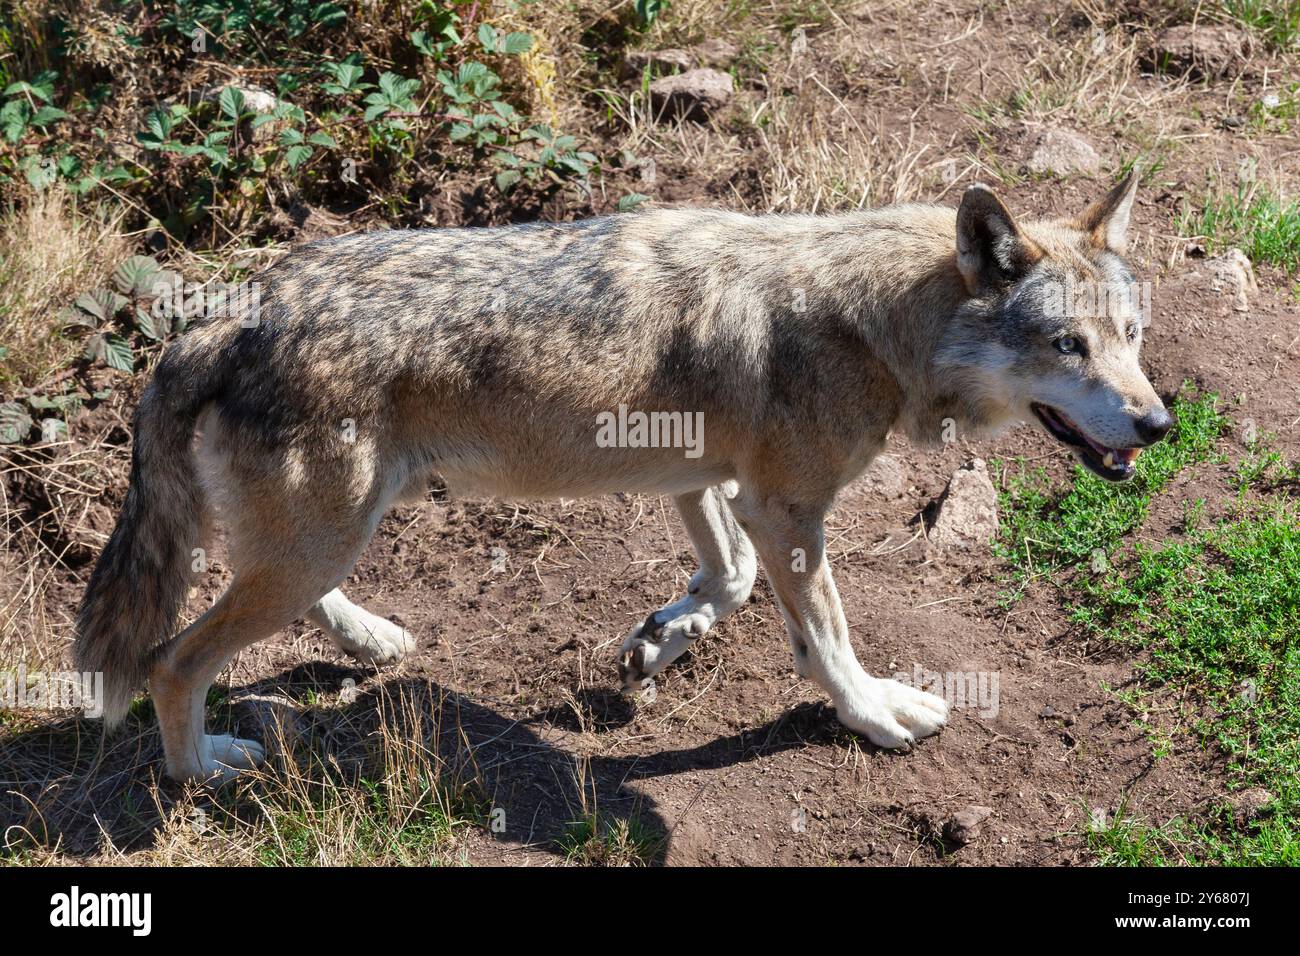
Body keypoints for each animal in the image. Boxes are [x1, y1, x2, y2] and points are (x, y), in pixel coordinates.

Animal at [77, 172, 1171, 783]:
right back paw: (202, 771)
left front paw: (662, 637)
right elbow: (826, 638)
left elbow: (728, 579)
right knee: (172, 660)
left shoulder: (706, 482)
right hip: (319, 539)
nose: (1157, 423)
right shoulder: (787, 510)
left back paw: (371, 638)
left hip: (329, 535)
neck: (876, 321)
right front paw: (873, 716)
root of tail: (226, 312)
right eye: (1067, 345)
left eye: (1130, 335)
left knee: (261, 603)